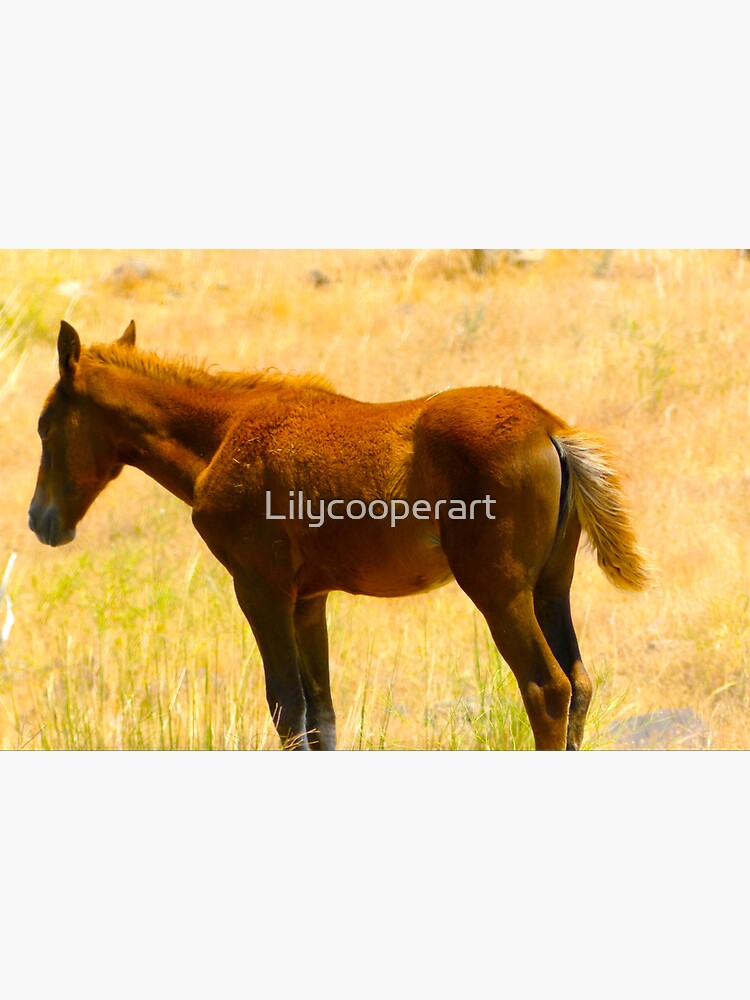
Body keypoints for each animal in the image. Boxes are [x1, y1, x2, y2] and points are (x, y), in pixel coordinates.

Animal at [29, 321, 650, 750]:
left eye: (43, 425)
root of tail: (552, 430)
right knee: (579, 684)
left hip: (499, 590)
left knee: (547, 689)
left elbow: (286, 707)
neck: (225, 435)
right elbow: (320, 715)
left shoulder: (260, 589)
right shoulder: (309, 600)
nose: (41, 520)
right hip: (550, 587)